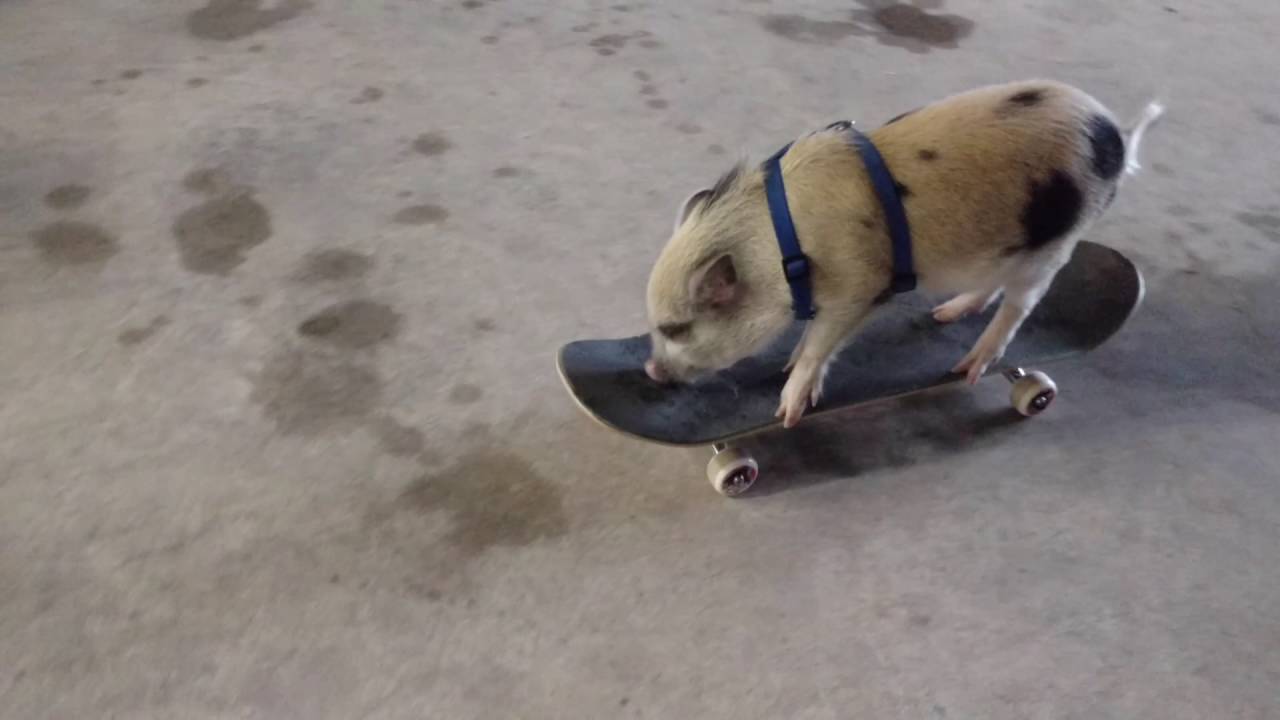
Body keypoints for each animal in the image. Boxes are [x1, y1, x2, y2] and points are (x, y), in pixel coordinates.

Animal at [644, 79, 1163, 427]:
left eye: (676, 328)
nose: (649, 370)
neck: (784, 254)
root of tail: (1115, 135)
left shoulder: (860, 286)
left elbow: (819, 345)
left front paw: (787, 411)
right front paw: (788, 364)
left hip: (1055, 244)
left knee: (1020, 306)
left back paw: (965, 370)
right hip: (1012, 244)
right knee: (992, 286)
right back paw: (944, 315)